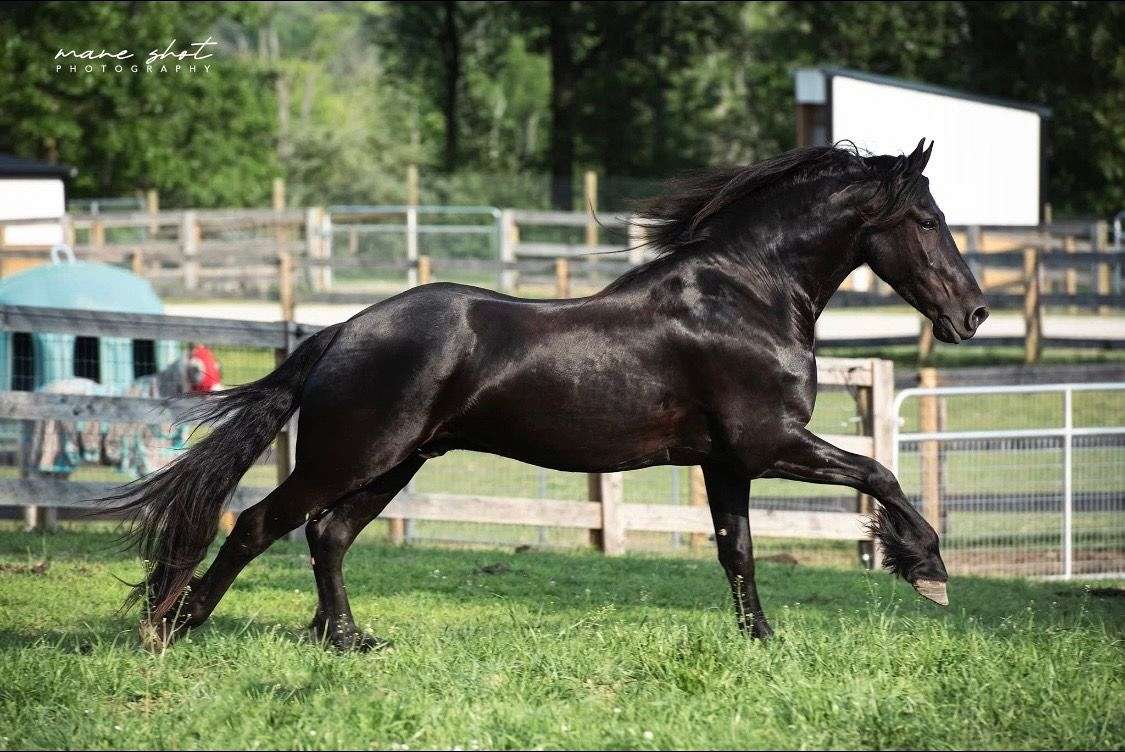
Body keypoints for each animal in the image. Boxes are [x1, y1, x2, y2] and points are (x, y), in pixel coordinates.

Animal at [110, 140, 988, 650]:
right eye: (926, 218)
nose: (972, 313)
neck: (744, 294)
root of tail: (339, 332)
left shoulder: (726, 461)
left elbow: (735, 550)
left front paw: (762, 641)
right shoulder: (769, 444)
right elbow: (878, 474)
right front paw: (926, 571)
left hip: (396, 463)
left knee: (327, 535)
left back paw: (347, 640)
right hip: (351, 456)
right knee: (260, 524)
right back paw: (173, 627)